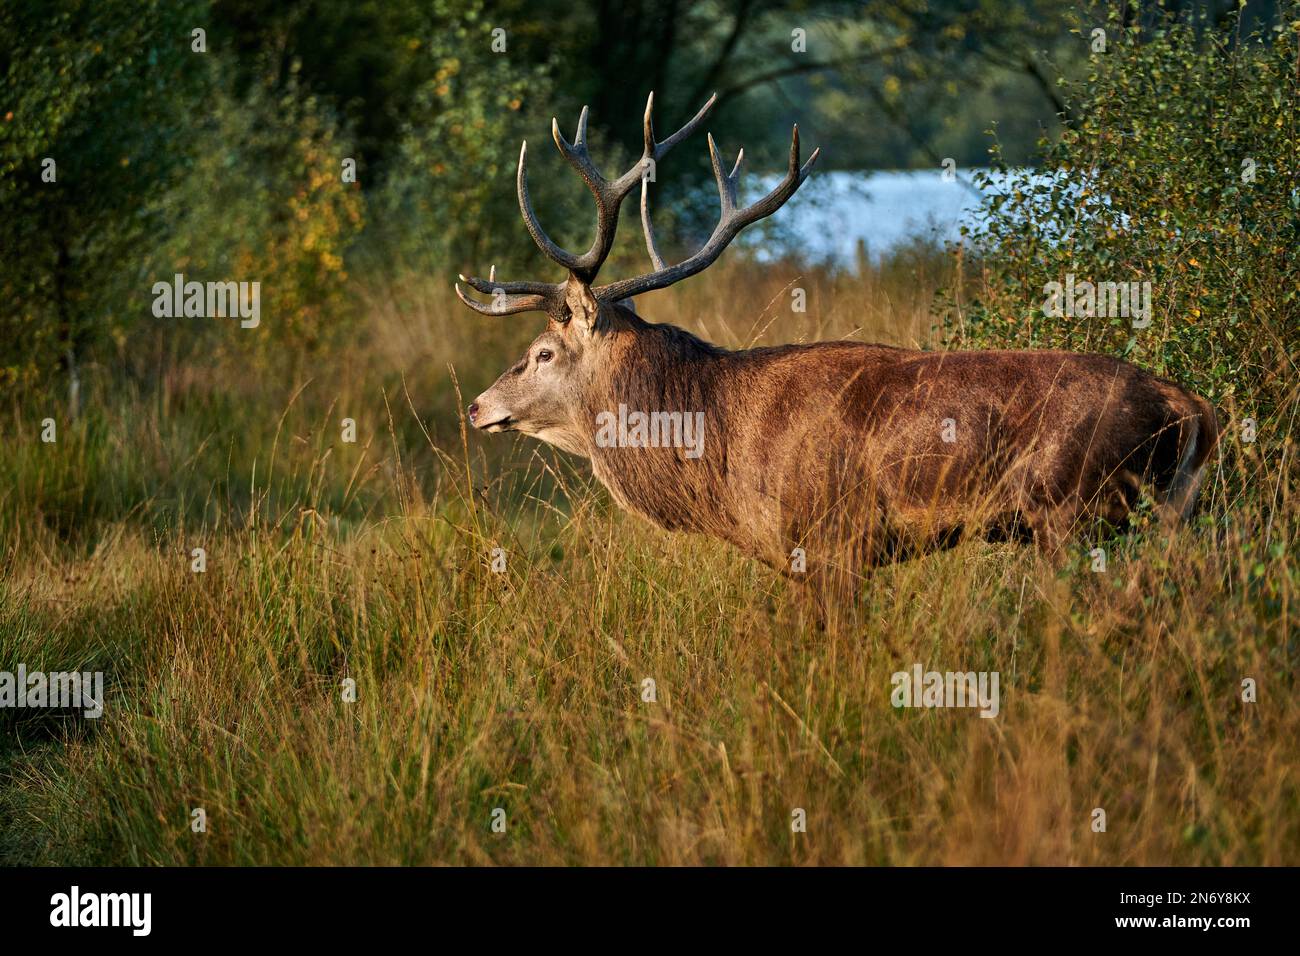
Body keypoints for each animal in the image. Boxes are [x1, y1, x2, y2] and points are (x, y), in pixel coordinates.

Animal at [456, 92, 1219, 622]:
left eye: (542, 351)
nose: (476, 406)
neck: (719, 450)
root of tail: (1192, 409)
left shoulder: (828, 539)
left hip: (1080, 511)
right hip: (1162, 514)